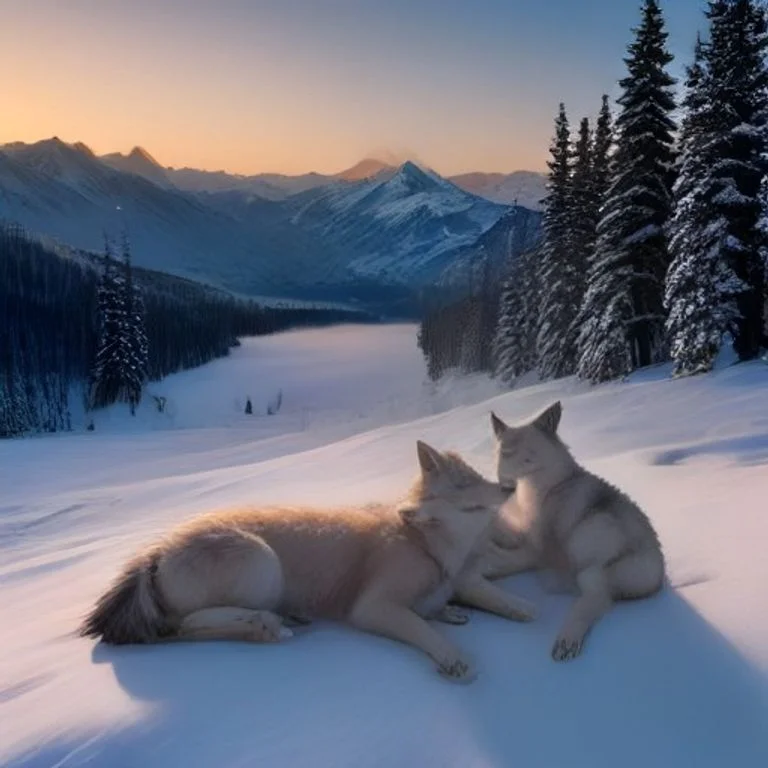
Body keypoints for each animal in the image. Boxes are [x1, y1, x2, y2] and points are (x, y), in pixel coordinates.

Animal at [80, 440, 535, 682]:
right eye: (466, 482)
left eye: (477, 475)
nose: (510, 486)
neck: (422, 540)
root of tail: (154, 553)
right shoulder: (373, 607)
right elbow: (422, 627)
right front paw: (452, 655)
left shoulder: (455, 580)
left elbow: (483, 599)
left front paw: (481, 609)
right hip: (263, 564)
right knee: (187, 625)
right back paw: (264, 624)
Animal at [487, 401, 665, 661]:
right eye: (502, 454)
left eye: (526, 457)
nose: (504, 485)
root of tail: (658, 577)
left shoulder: (534, 545)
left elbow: (509, 552)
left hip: (592, 534)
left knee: (594, 600)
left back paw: (568, 638)